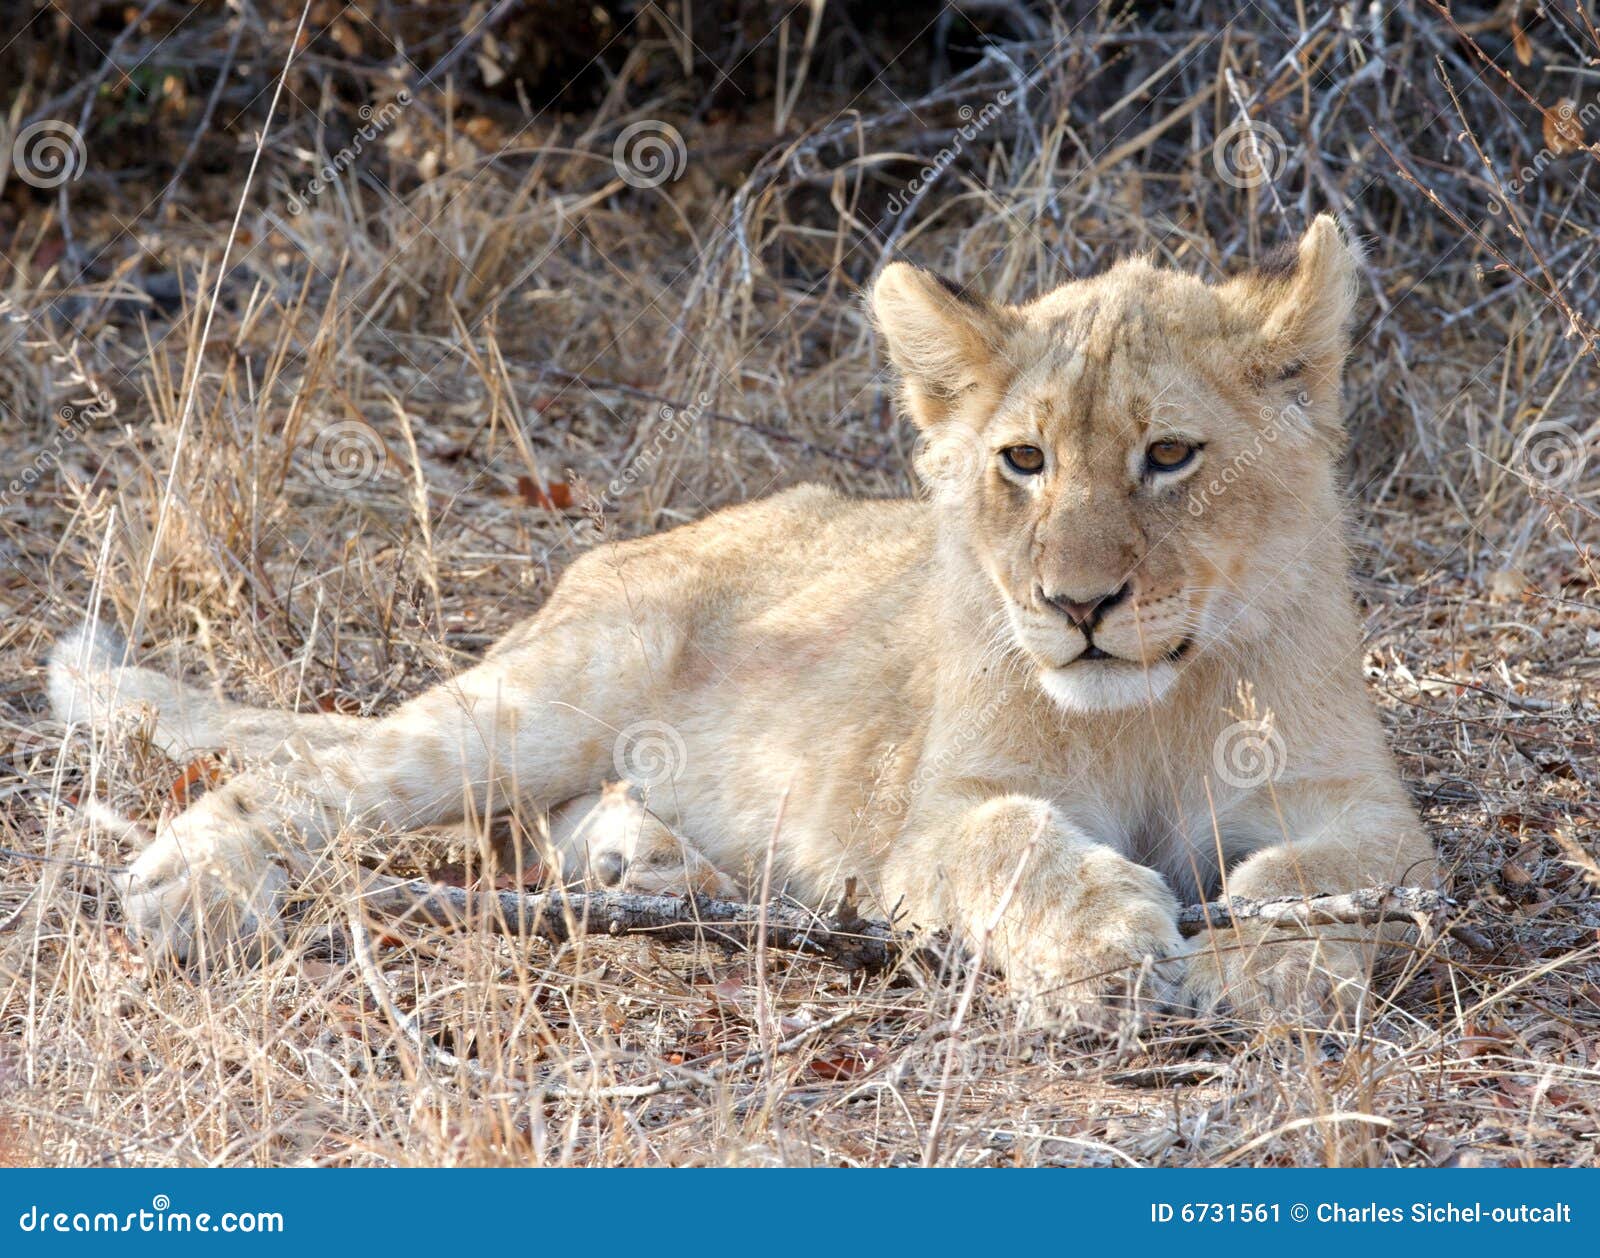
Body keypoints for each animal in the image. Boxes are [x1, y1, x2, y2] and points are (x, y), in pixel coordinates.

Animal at [49, 214, 1436, 1024]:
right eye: (1025, 460)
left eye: (1169, 454)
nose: (1075, 605)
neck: (1153, 701)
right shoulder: (931, 822)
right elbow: (1020, 848)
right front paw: (1107, 944)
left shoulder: (1366, 810)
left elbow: (1329, 877)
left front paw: (1270, 963)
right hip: (541, 695)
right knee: (327, 778)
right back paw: (189, 882)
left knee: (542, 824)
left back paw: (644, 861)